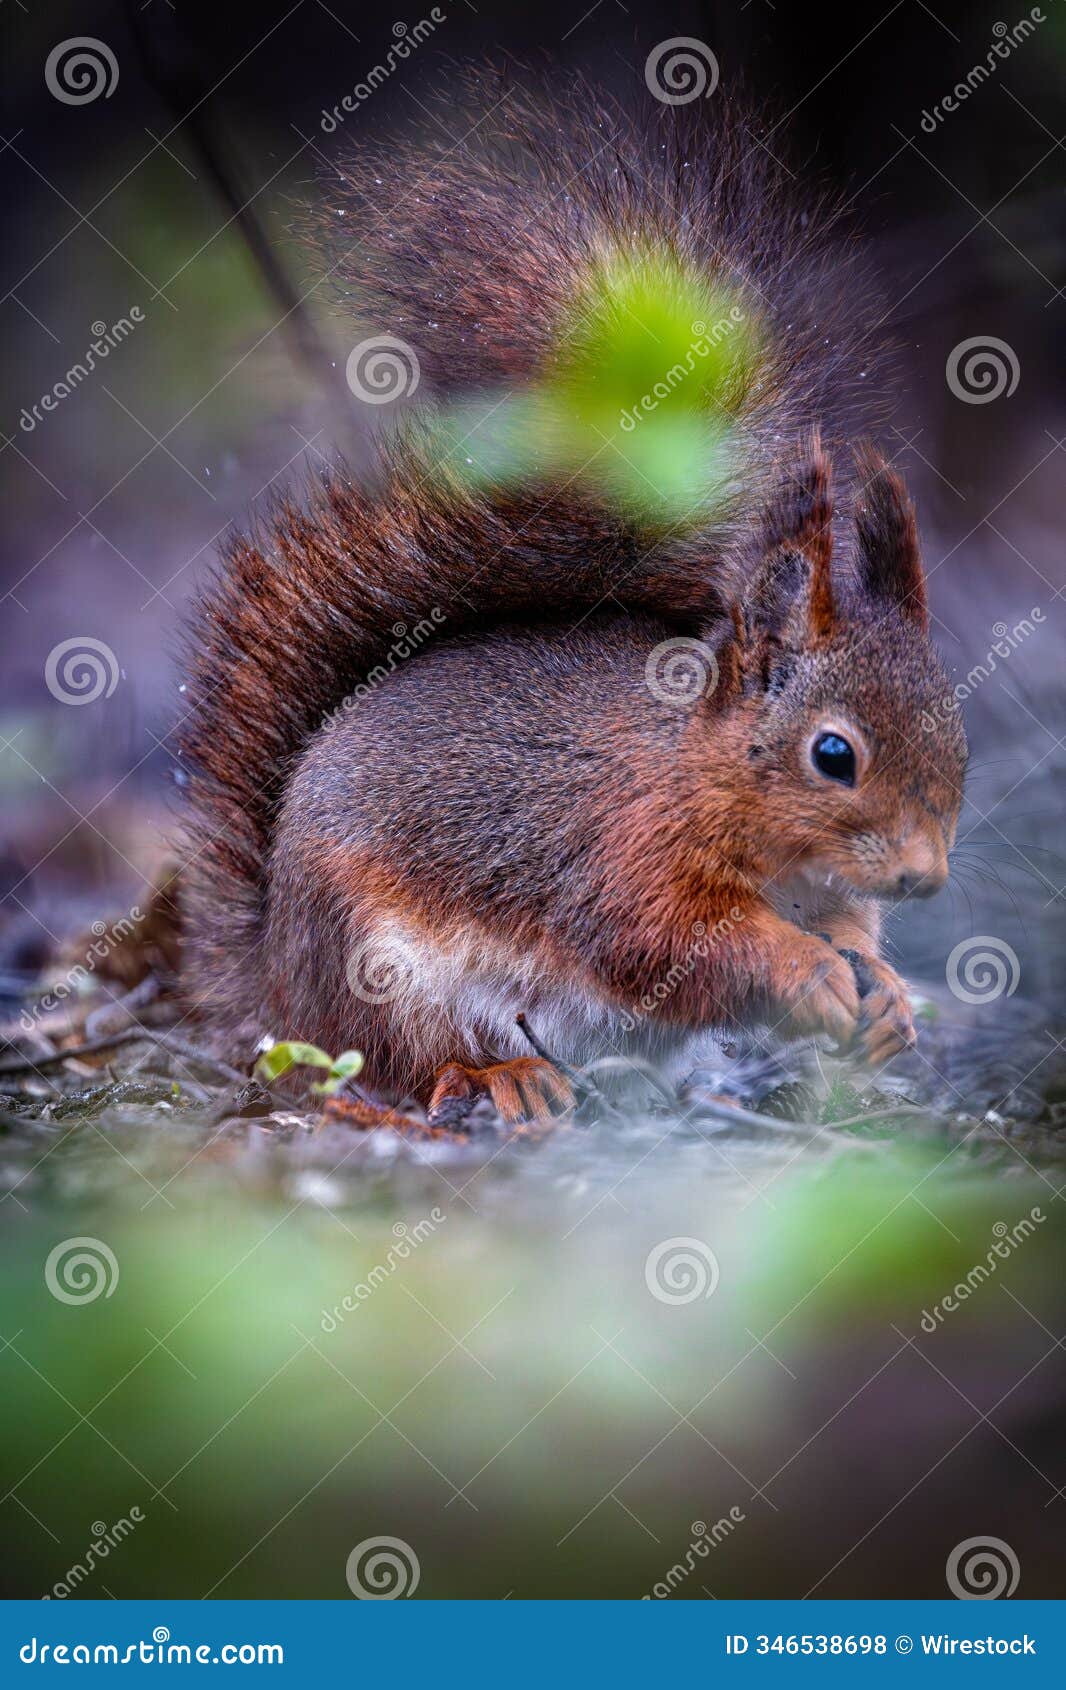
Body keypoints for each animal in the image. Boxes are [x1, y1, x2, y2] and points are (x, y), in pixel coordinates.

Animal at [177, 75, 967, 1123]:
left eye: (960, 735)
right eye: (833, 755)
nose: (926, 877)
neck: (704, 772)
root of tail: (275, 980)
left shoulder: (829, 893)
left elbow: (849, 938)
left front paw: (890, 1005)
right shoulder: (624, 857)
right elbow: (670, 945)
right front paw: (805, 973)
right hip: (377, 969)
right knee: (397, 1065)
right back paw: (497, 1077)